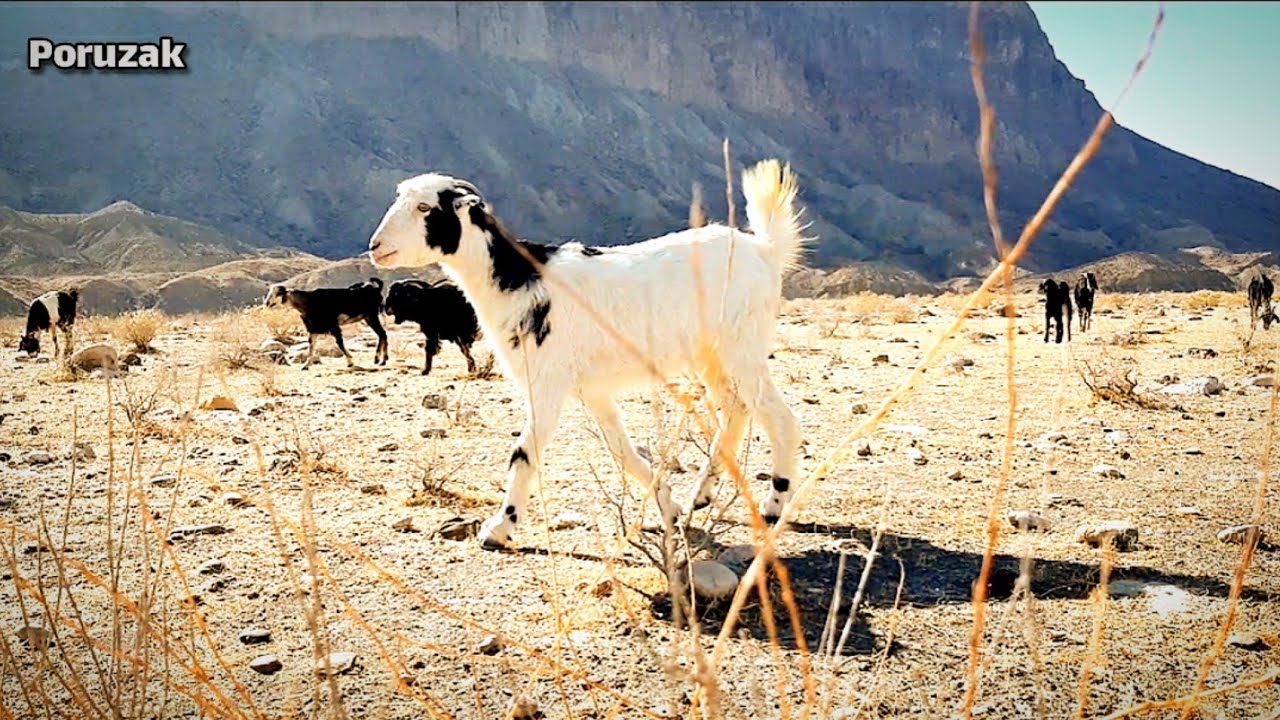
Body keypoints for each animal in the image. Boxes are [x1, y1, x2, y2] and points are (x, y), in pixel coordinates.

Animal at [367, 159, 809, 550]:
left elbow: (523, 452)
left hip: (742, 346)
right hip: (711, 356)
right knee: (736, 409)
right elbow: (624, 452)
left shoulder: (546, 382)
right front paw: (668, 508)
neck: (522, 279)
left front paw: (498, 529)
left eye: (425, 207)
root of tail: (765, 250)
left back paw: (774, 504)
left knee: (780, 417)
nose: (376, 247)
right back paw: (701, 494)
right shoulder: (593, 390)